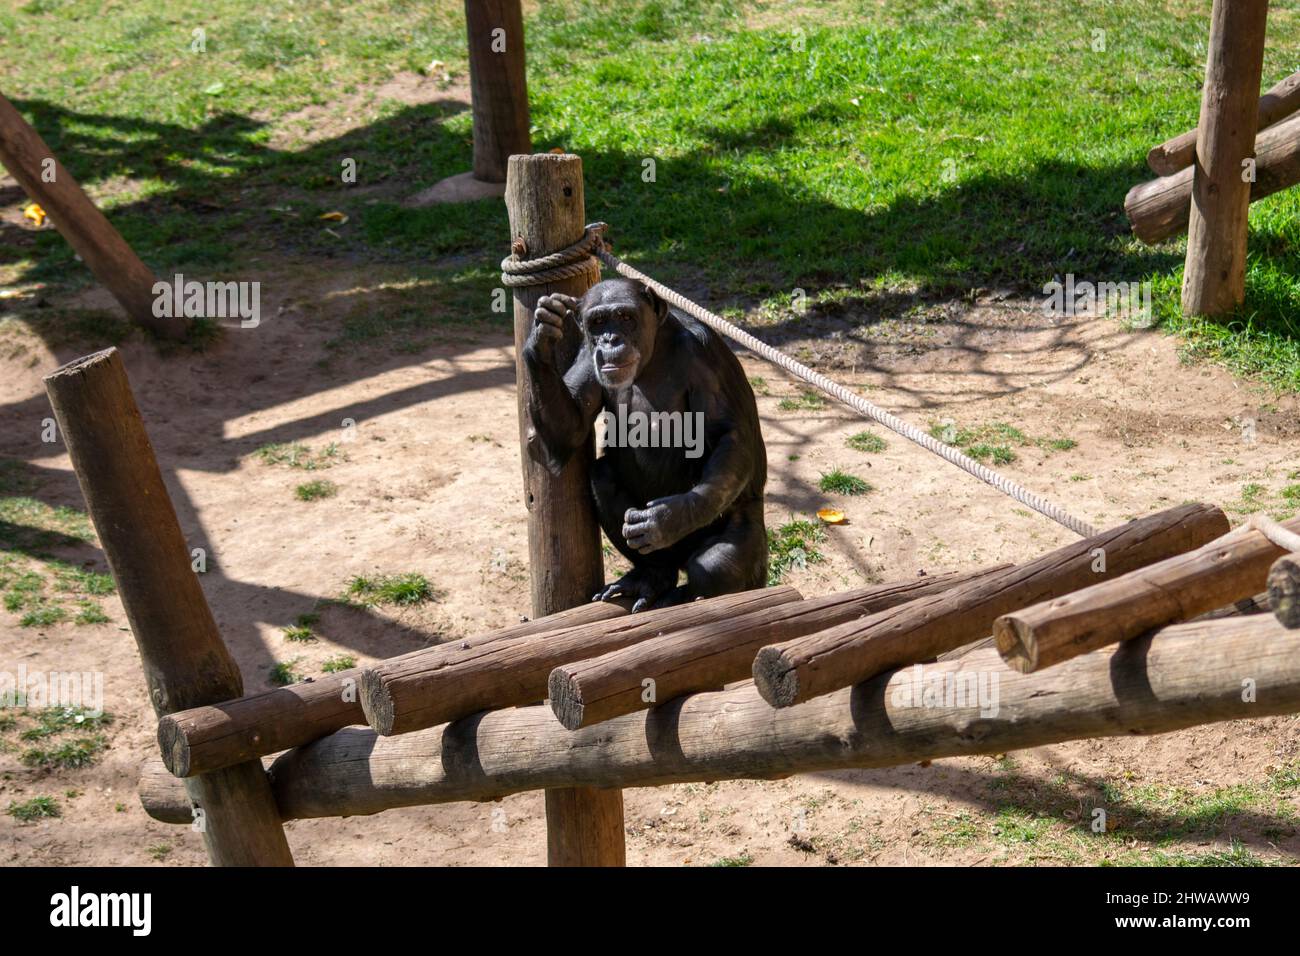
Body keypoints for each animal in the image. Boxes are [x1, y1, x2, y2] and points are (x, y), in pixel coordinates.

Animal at [523, 277, 768, 611]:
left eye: (625, 317)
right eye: (597, 322)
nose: (610, 339)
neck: (654, 352)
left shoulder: (703, 353)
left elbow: (728, 435)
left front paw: (669, 518)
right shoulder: (587, 354)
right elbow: (569, 430)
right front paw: (543, 332)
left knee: (714, 565)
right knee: (602, 476)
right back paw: (649, 578)